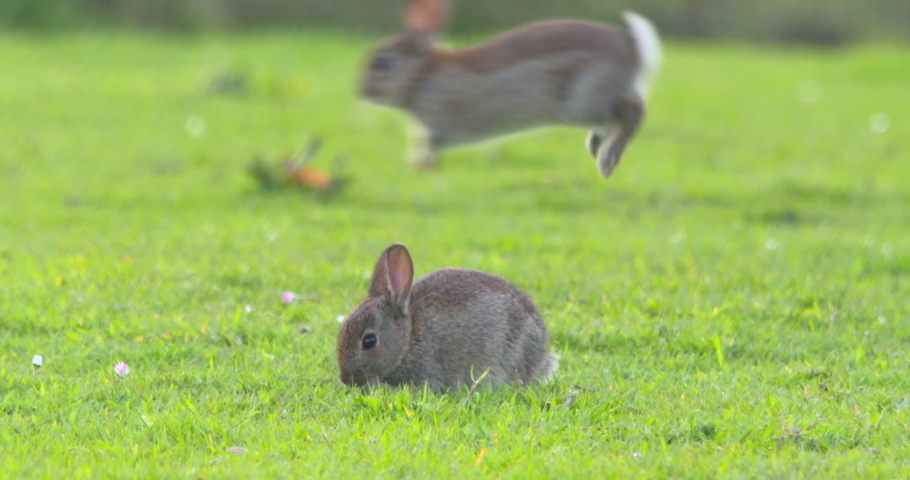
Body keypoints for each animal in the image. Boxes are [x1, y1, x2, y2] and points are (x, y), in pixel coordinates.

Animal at [359, 0, 662, 179]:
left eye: (383, 63)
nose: (361, 91)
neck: (423, 76)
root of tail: (634, 46)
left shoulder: (440, 121)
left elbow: (430, 143)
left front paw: (420, 165)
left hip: (582, 101)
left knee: (632, 111)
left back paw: (606, 161)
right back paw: (596, 146)